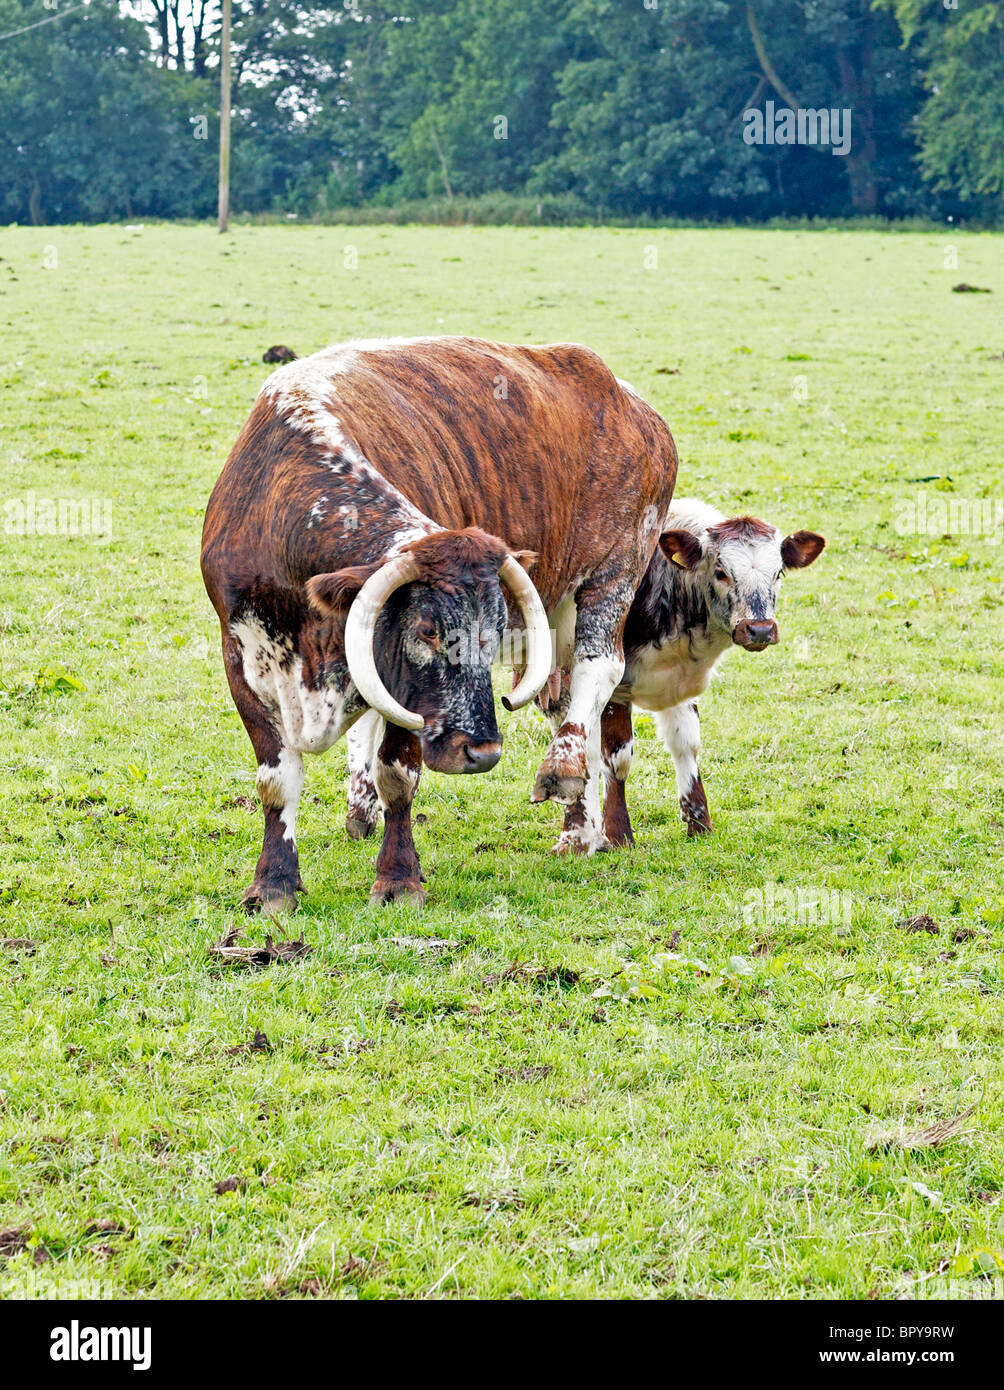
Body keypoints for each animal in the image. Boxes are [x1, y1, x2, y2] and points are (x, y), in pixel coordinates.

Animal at [202, 336, 678, 909]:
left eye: (492, 632)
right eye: (426, 631)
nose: (482, 750)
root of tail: (633, 405)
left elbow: (397, 775)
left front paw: (398, 879)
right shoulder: (241, 661)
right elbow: (277, 780)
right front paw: (273, 885)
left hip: (616, 571)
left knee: (596, 673)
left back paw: (564, 775)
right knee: (565, 703)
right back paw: (579, 833)